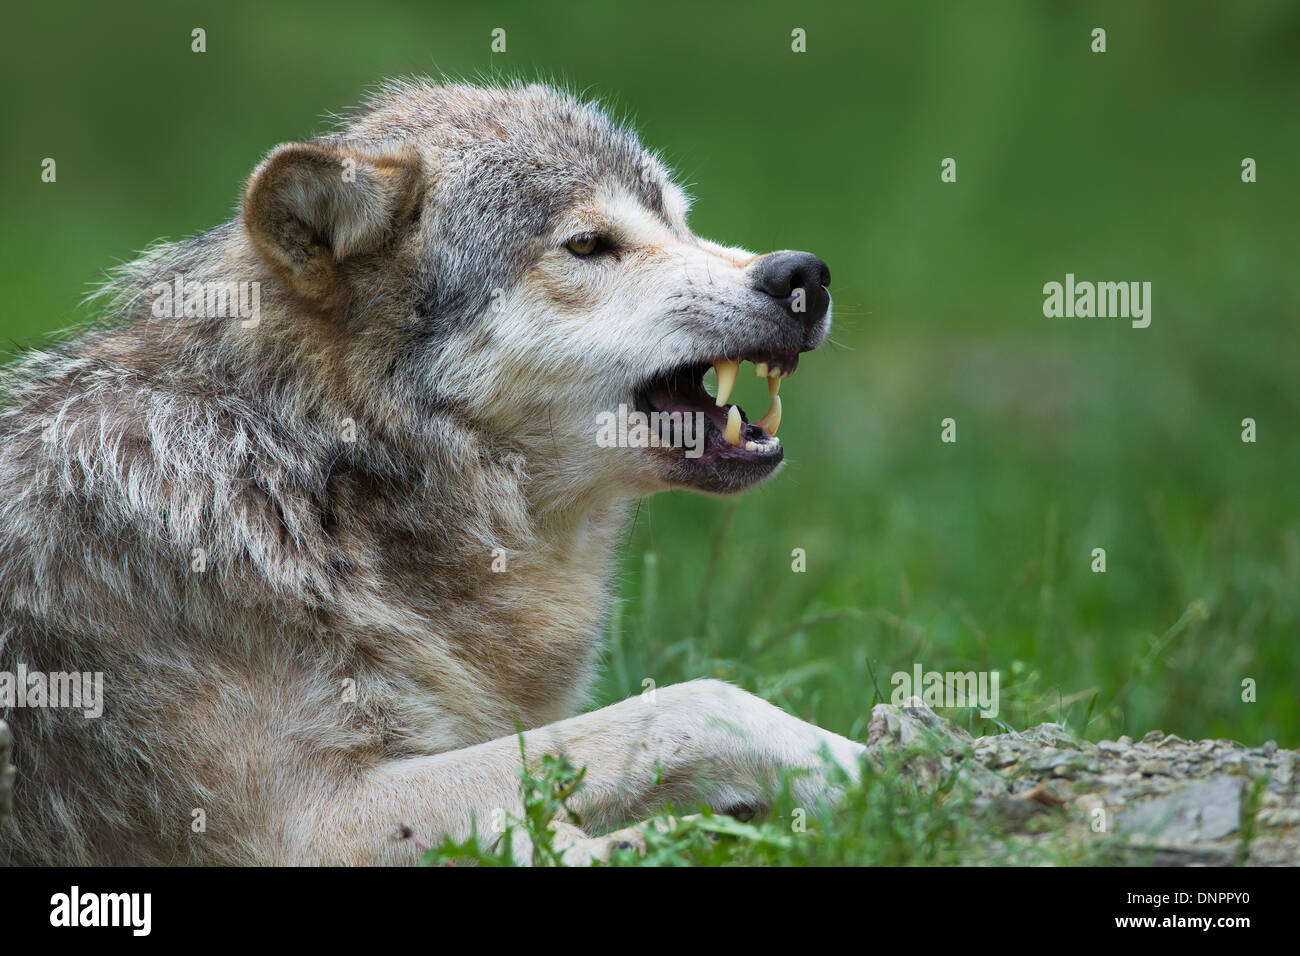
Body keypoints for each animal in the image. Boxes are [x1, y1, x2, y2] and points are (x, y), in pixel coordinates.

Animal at [0, 80, 863, 865]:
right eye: (589, 245)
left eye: (682, 223)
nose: (803, 274)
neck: (313, 483)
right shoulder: (306, 825)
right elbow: (703, 704)